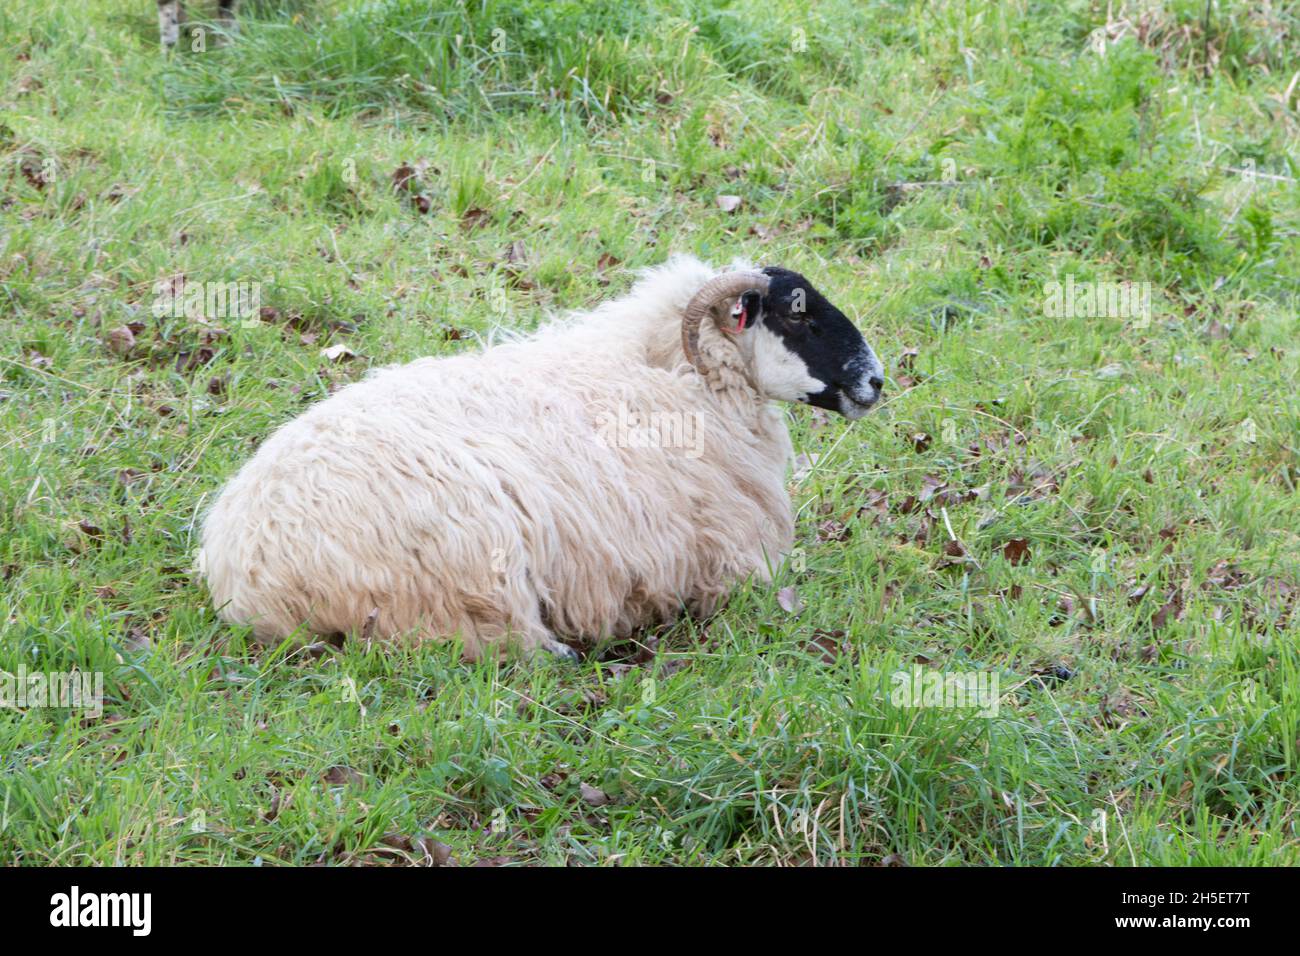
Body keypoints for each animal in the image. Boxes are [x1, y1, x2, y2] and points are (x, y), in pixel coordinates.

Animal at [197, 256, 885, 659]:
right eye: (797, 314)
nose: (876, 381)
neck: (681, 378)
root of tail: (246, 572)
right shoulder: (729, 561)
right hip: (468, 569)